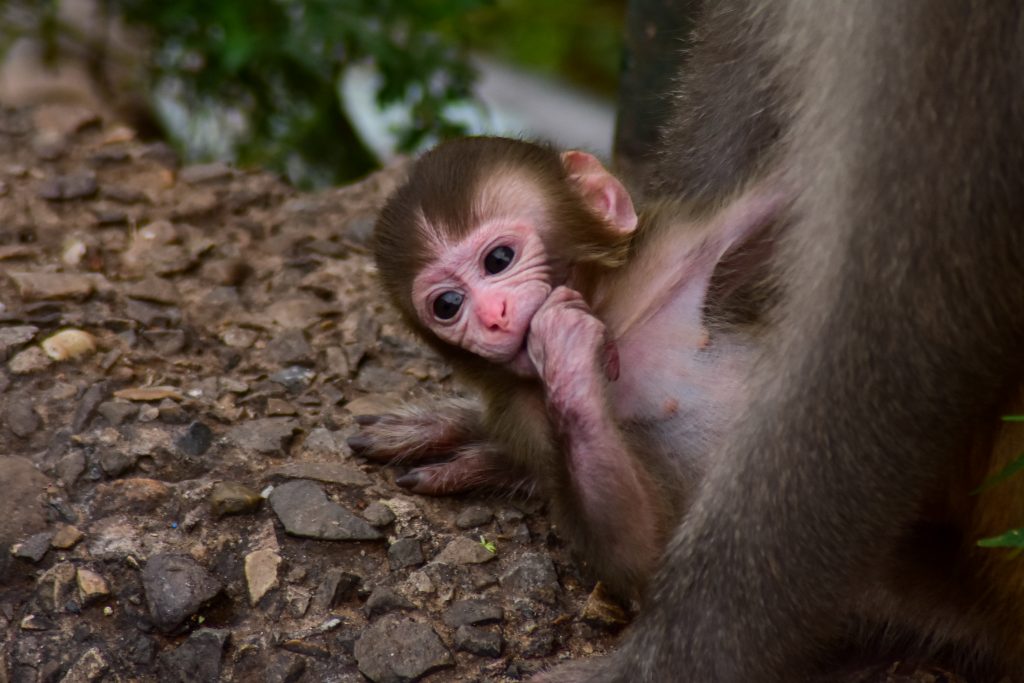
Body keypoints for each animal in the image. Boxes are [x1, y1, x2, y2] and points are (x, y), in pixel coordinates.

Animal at [351, 135, 786, 598]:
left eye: (499, 259)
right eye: (448, 305)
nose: (492, 315)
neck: (616, 320)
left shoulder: (683, 244)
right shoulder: (524, 411)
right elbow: (645, 553)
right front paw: (564, 346)